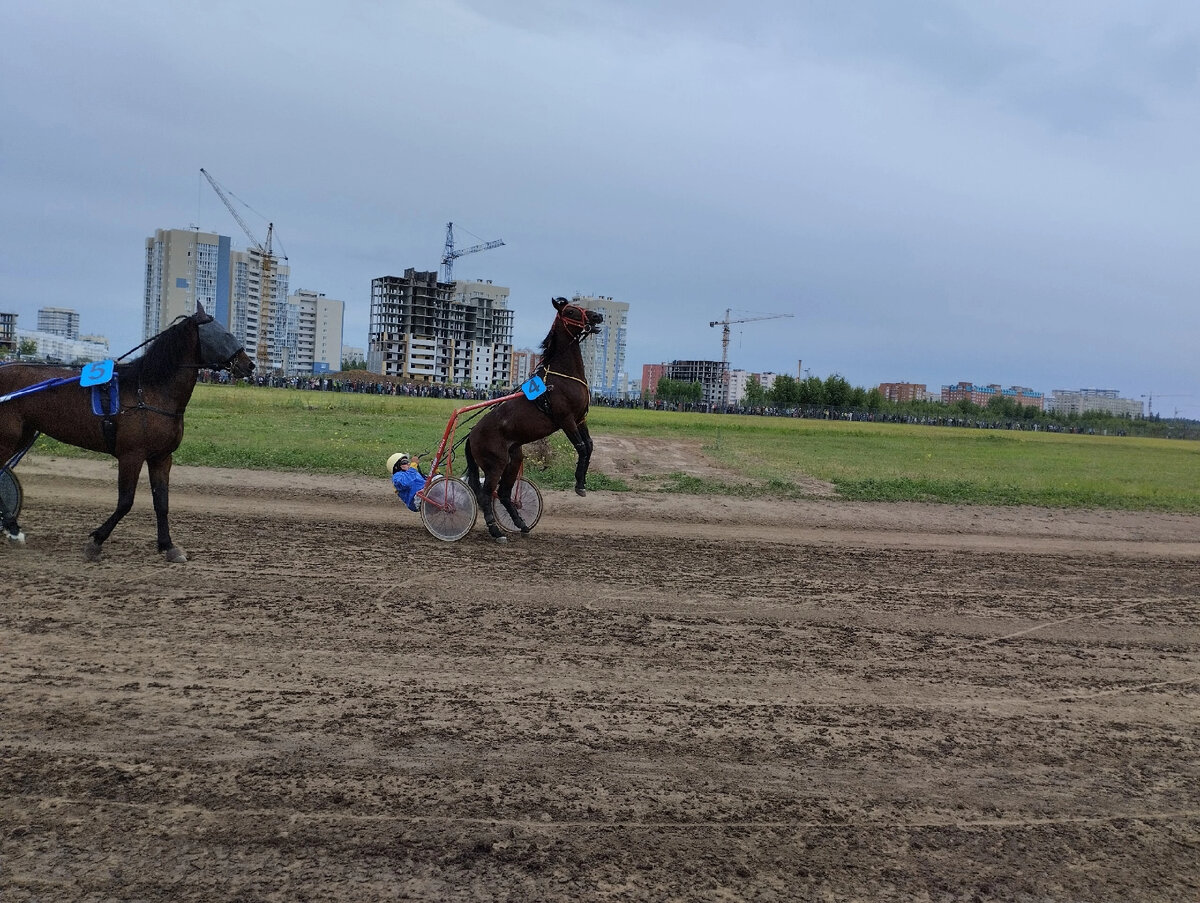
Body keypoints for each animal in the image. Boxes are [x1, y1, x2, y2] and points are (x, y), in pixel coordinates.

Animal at [0, 300, 253, 561]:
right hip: (6, 438)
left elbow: (161, 502)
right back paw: (13, 527)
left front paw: (168, 546)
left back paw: (11, 527)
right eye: (225, 334)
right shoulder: (131, 455)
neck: (149, 393)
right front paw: (96, 541)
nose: (249, 365)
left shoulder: (161, 457)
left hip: (22, 434)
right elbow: (125, 502)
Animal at [463, 294, 604, 542]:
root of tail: (472, 435)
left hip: (513, 459)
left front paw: (582, 482)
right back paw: (496, 531)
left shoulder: (580, 419)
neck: (561, 378)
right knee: (486, 495)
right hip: (495, 464)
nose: (597, 316)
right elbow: (581, 447)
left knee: (504, 493)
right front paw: (579, 483)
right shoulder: (566, 419)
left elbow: (589, 446)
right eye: (570, 311)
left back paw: (521, 524)